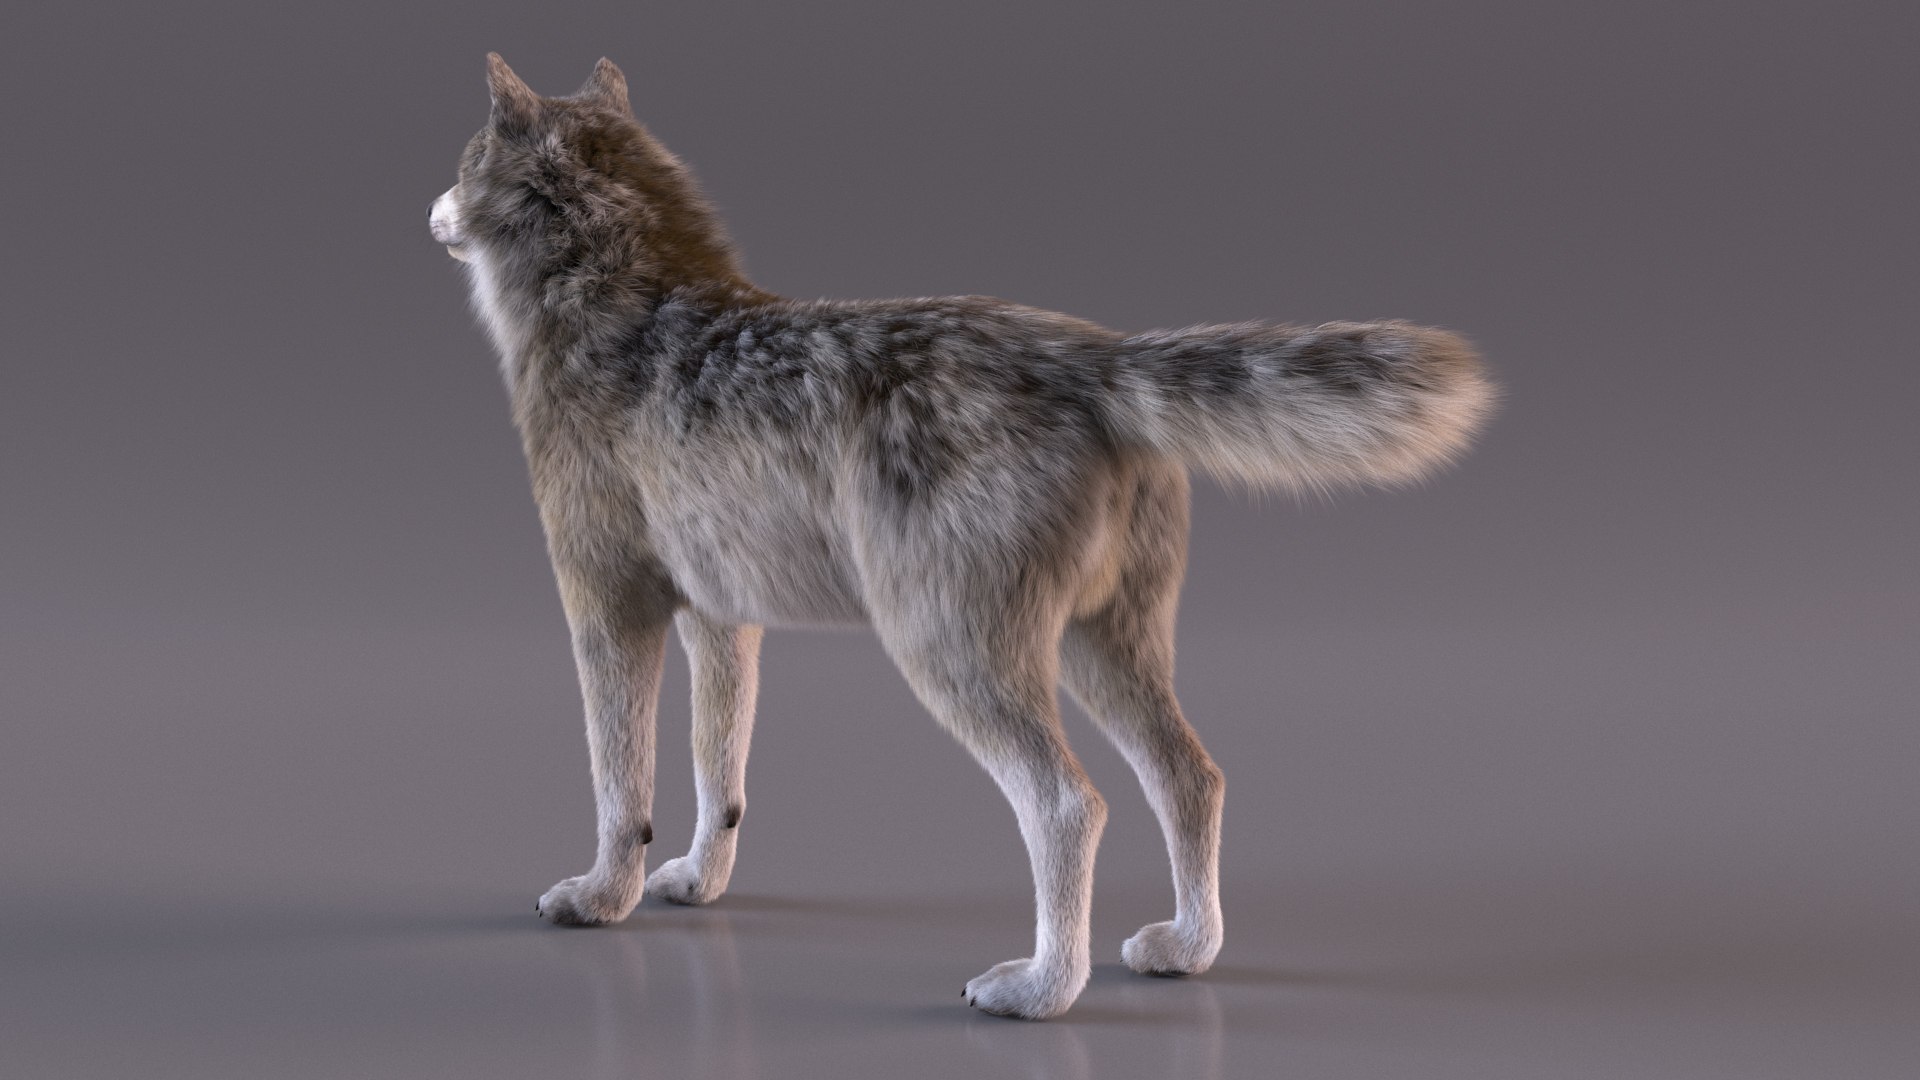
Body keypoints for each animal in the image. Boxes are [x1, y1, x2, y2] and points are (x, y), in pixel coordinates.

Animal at [428, 54, 1494, 1020]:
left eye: (466, 156)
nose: (429, 210)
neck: (623, 303)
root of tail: (1096, 359)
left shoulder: (608, 610)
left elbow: (621, 786)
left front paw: (599, 899)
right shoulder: (720, 623)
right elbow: (716, 773)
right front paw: (695, 882)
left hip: (951, 656)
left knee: (1070, 806)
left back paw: (1042, 991)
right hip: (1101, 652)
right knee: (1192, 779)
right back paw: (1186, 952)